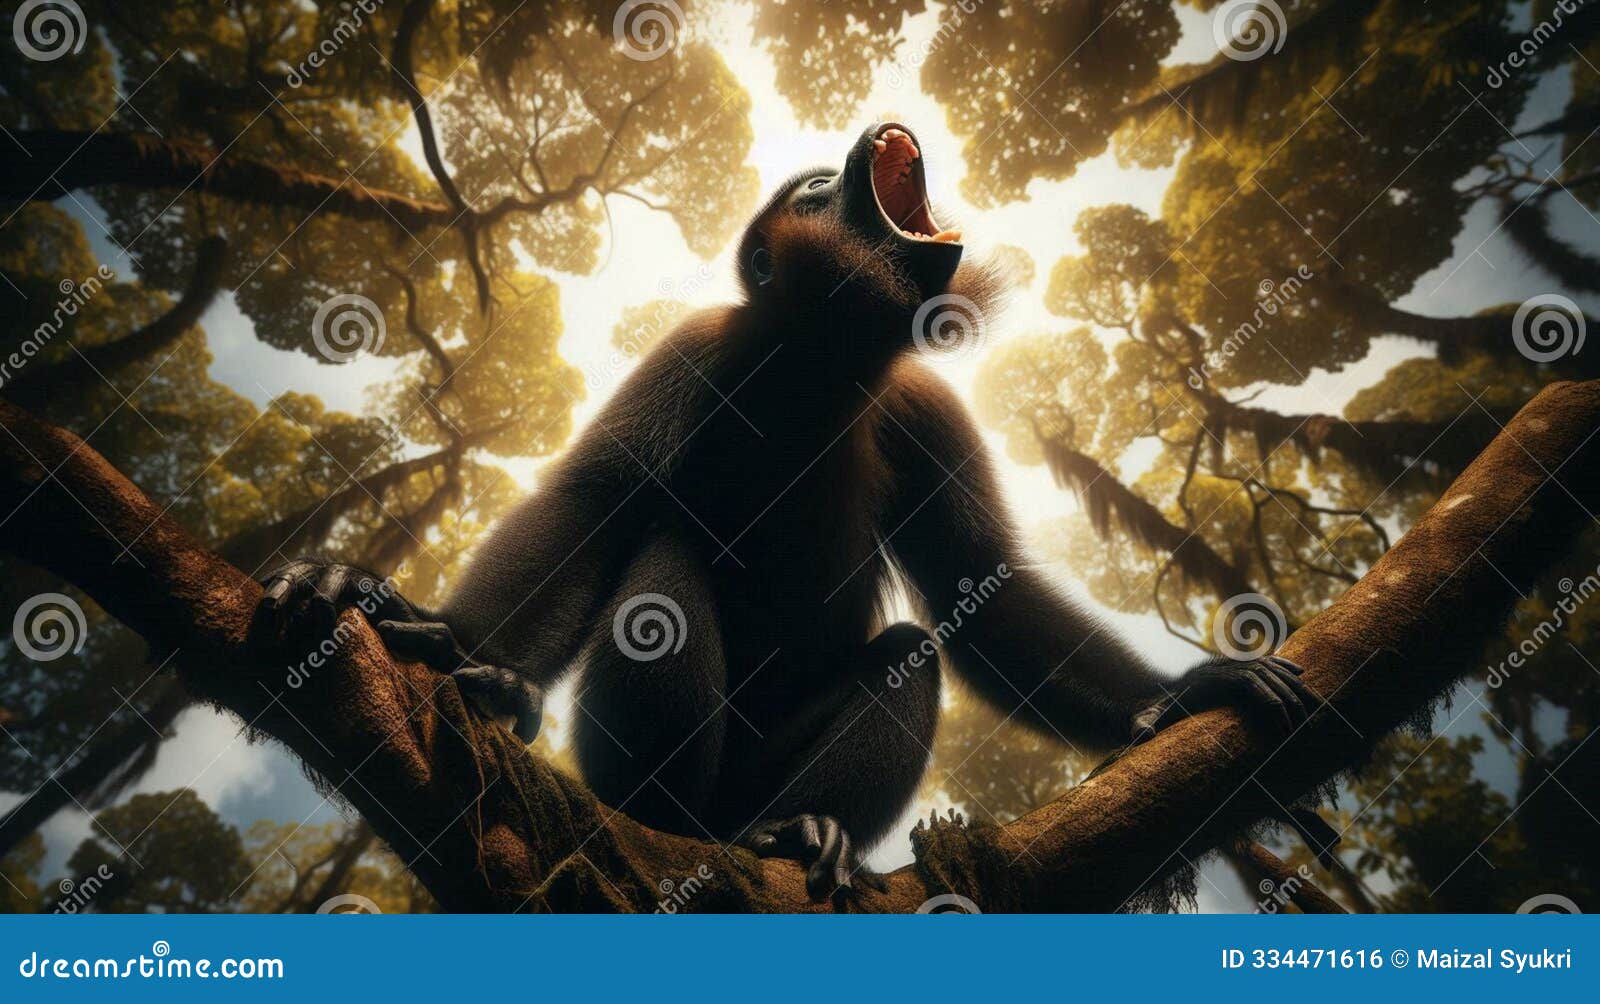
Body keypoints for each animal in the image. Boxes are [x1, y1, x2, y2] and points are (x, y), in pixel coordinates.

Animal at [258, 122, 1319, 901]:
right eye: (814, 194)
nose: (857, 151)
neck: (820, 364)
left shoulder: (919, 405)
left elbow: (978, 589)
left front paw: (1175, 698)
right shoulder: (701, 348)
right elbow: (595, 503)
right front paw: (445, 637)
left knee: (905, 653)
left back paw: (806, 831)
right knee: (664, 567)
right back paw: (667, 817)